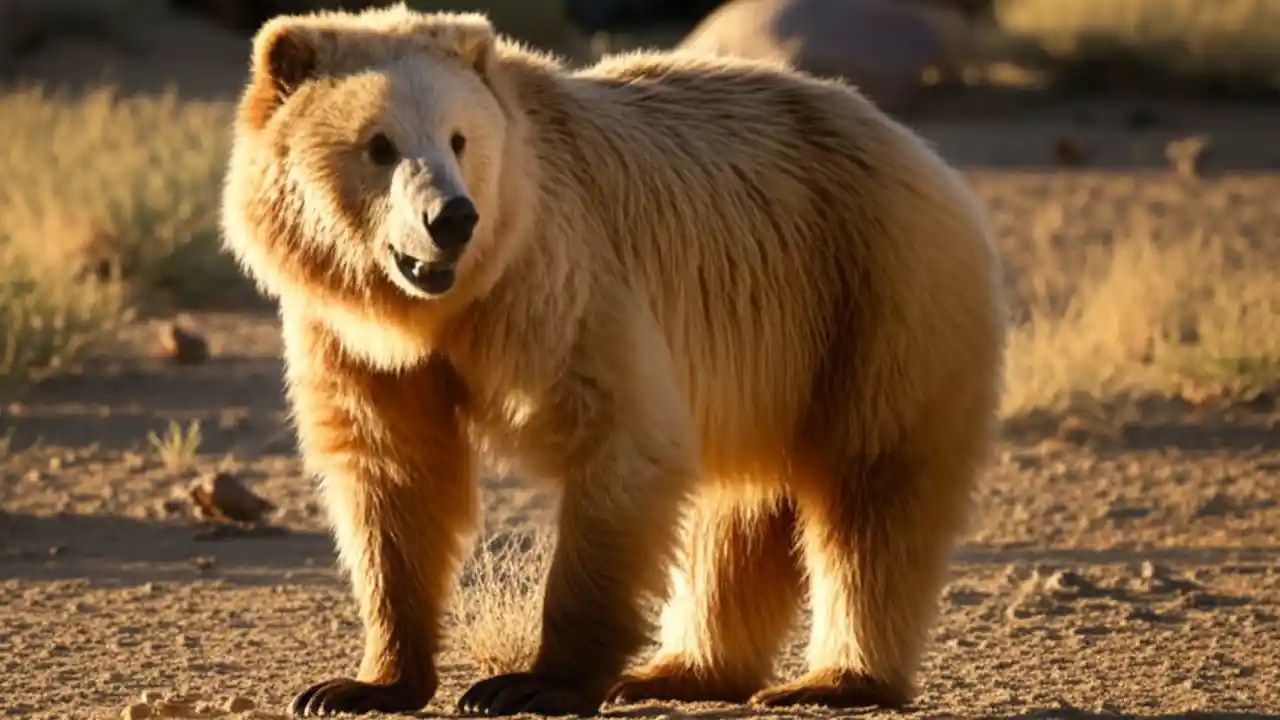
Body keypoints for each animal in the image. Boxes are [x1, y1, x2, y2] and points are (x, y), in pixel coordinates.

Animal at [219, 4, 1007, 717]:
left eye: (459, 138)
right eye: (378, 145)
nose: (451, 218)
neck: (439, 312)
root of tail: (919, 149)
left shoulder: (561, 281)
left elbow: (620, 438)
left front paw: (529, 683)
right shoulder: (351, 343)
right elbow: (393, 477)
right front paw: (358, 684)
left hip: (873, 295)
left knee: (871, 489)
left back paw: (834, 678)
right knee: (738, 510)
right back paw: (686, 668)